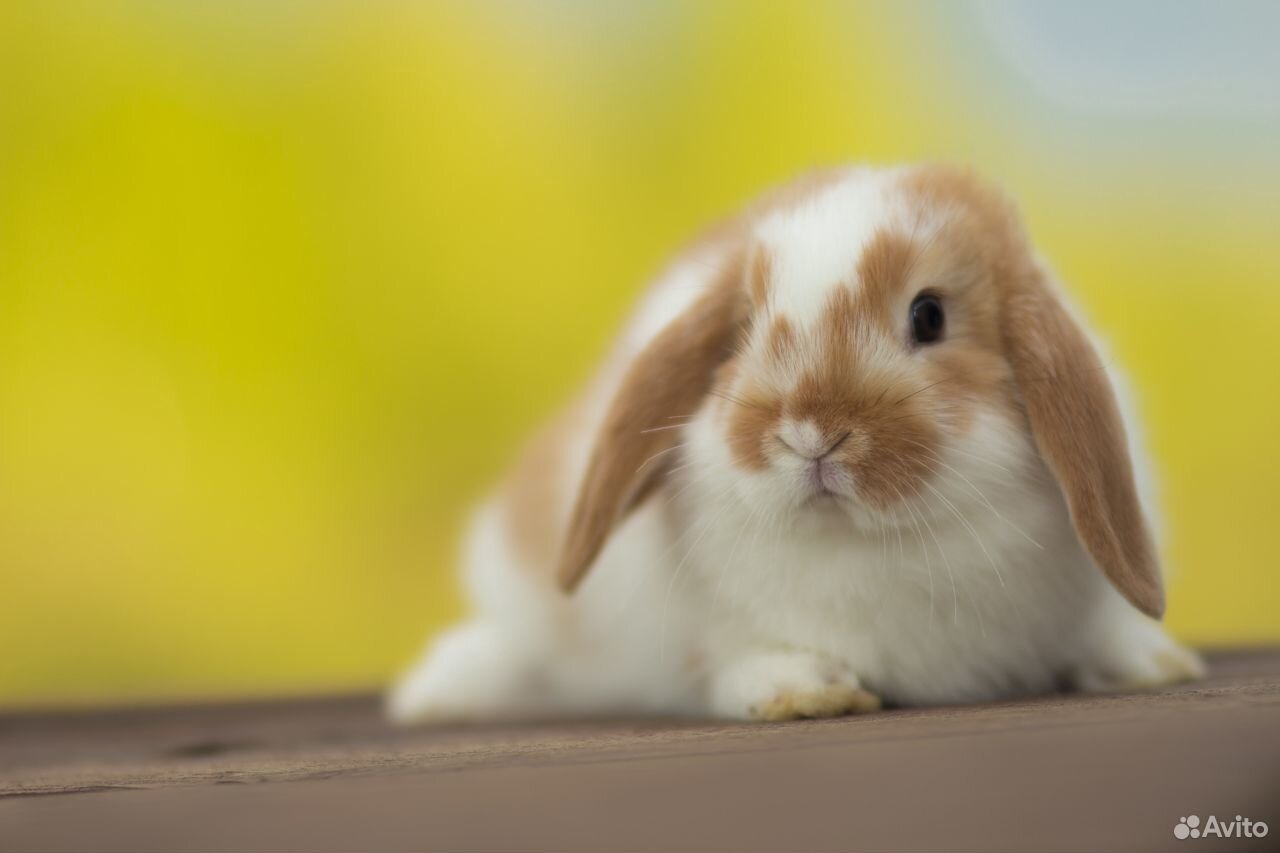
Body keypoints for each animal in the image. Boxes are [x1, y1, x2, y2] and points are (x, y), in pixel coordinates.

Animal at [388, 164, 1203, 723]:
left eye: (930, 315)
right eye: (743, 326)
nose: (812, 433)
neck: (861, 544)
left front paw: (1153, 661)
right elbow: (732, 662)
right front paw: (806, 692)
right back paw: (435, 692)